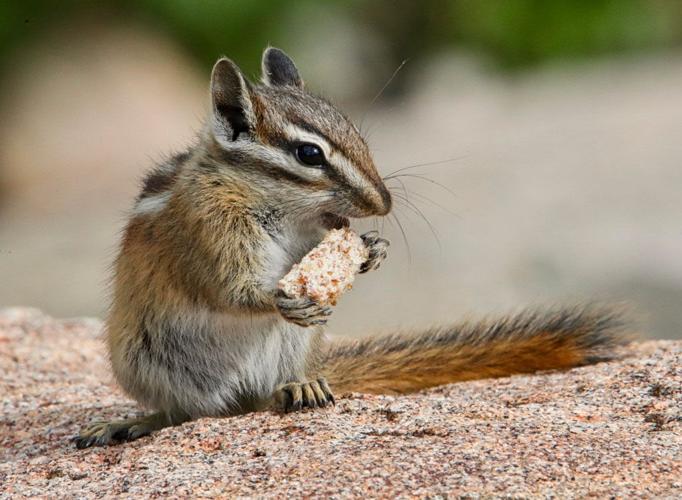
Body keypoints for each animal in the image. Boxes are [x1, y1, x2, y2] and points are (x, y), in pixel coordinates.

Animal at [74, 47, 628, 449]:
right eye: (308, 154)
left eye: (357, 134)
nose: (384, 203)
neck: (279, 207)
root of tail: (236, 400)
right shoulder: (209, 231)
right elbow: (231, 291)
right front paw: (286, 299)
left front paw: (373, 250)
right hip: (146, 361)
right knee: (182, 412)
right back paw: (133, 423)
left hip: (291, 352)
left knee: (265, 395)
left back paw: (300, 387)